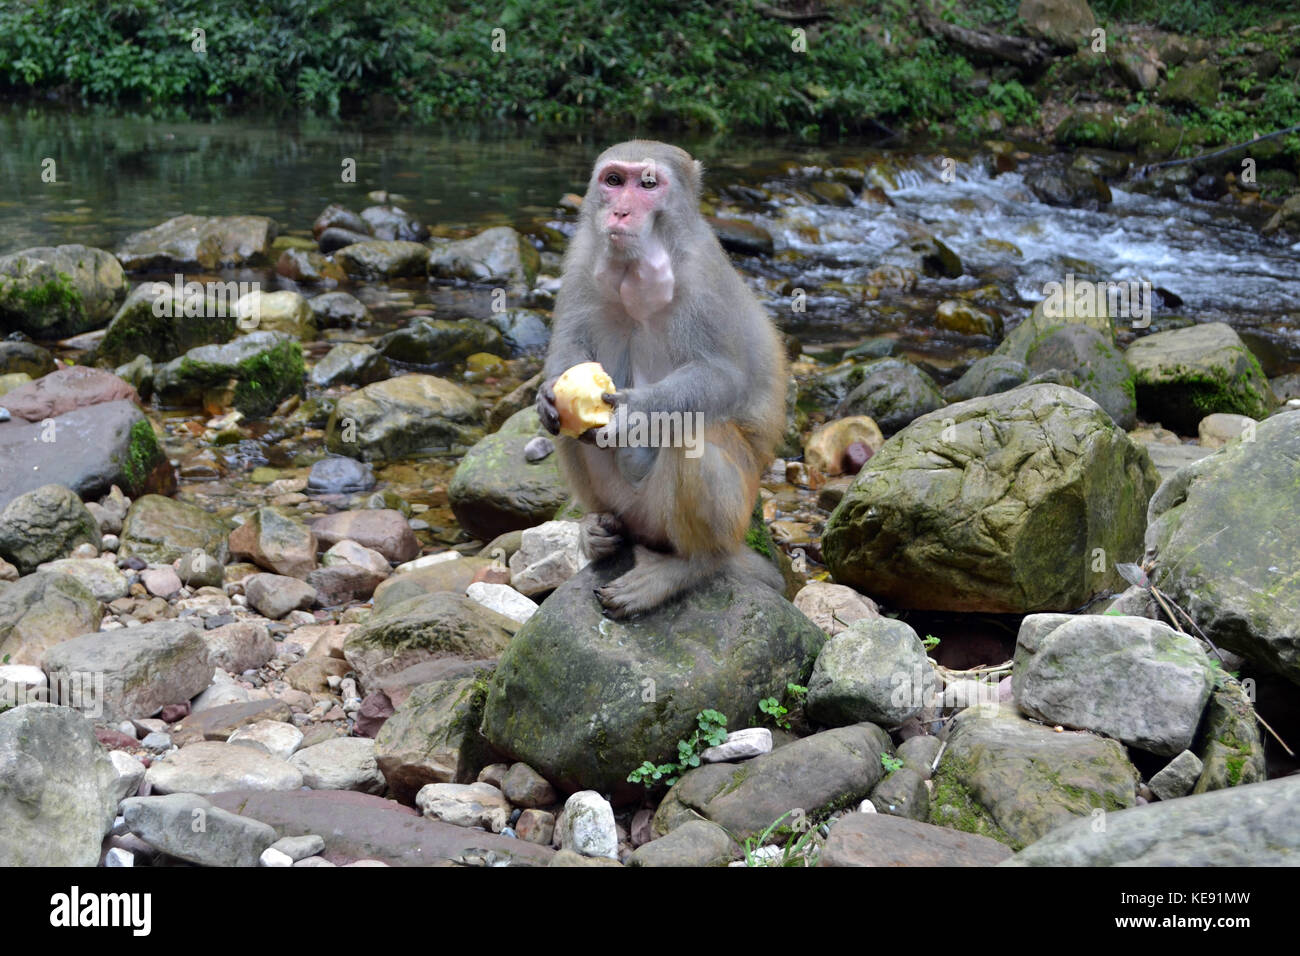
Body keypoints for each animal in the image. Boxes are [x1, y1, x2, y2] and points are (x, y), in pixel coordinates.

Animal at [535, 140, 788, 618]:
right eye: (614, 181)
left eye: (648, 185)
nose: (620, 212)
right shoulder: (580, 260)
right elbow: (567, 347)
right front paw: (546, 396)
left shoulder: (702, 277)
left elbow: (722, 377)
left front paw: (636, 411)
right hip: (626, 504)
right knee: (568, 433)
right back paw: (597, 530)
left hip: (719, 514)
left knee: (694, 429)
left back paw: (692, 565)